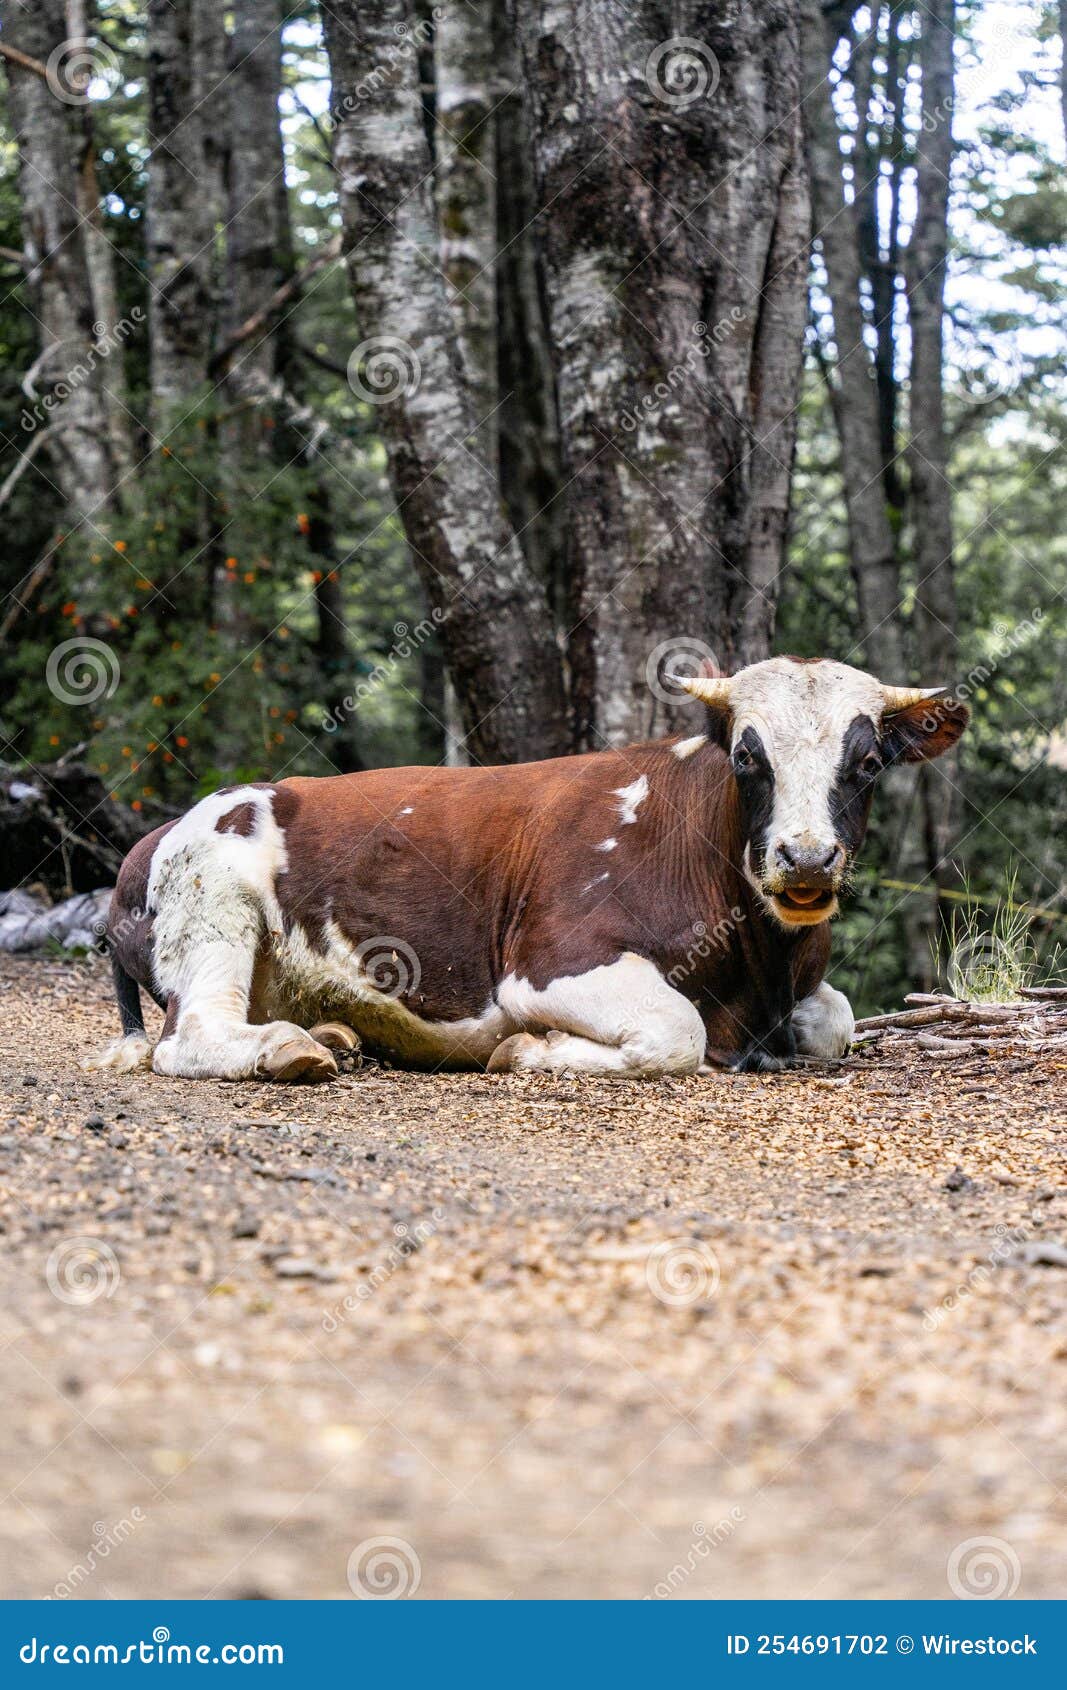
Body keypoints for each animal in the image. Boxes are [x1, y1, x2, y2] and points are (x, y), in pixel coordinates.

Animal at [86, 657, 967, 1084]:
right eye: (749, 758)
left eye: (867, 763)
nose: (805, 857)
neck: (759, 966)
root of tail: (155, 835)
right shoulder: (549, 962)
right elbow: (674, 1031)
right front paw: (528, 1053)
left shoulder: (807, 990)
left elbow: (836, 1021)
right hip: (216, 904)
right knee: (190, 1035)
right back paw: (287, 1050)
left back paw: (331, 1032)